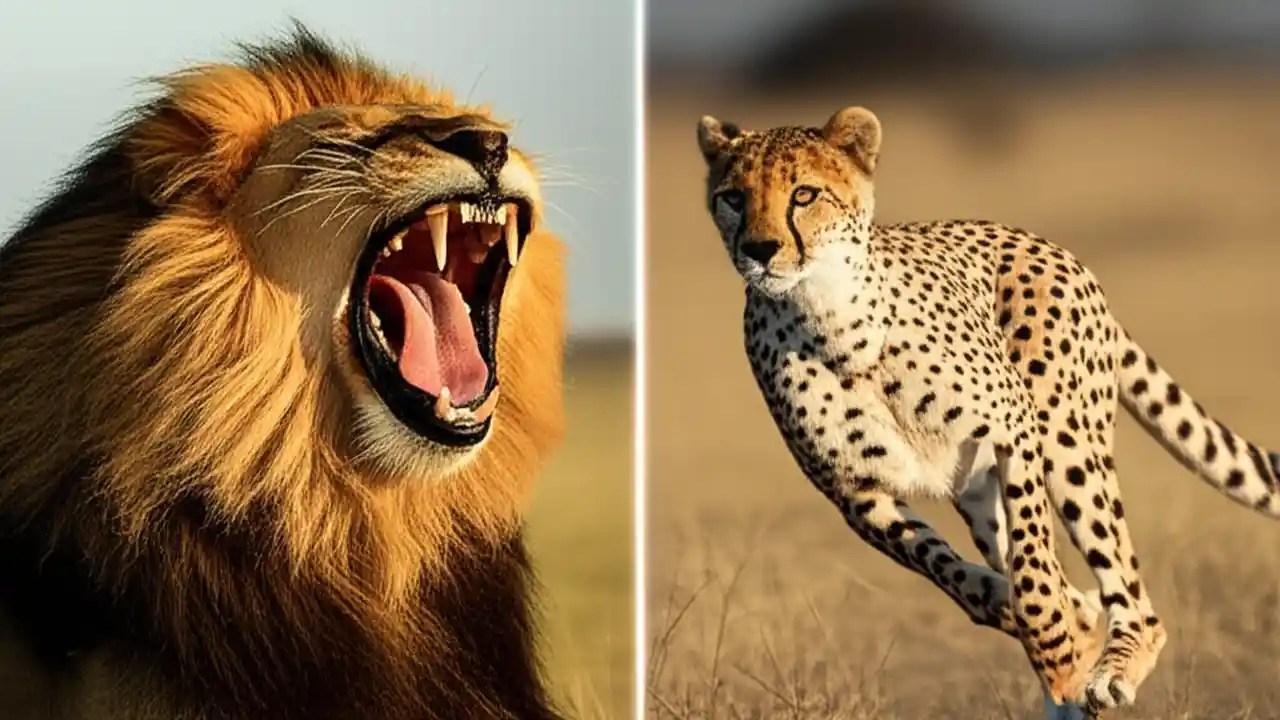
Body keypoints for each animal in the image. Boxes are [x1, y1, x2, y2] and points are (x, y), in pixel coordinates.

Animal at [695, 105, 1280, 719]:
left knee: (1132, 596)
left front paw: (1057, 649)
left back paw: (1111, 662)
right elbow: (954, 575)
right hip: (975, 487)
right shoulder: (856, 492)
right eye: (733, 197)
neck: (826, 315)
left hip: (1065, 440)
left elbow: (1034, 578)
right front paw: (1034, 620)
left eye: (804, 194)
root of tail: (1044, 244)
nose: (759, 249)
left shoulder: (1013, 425)